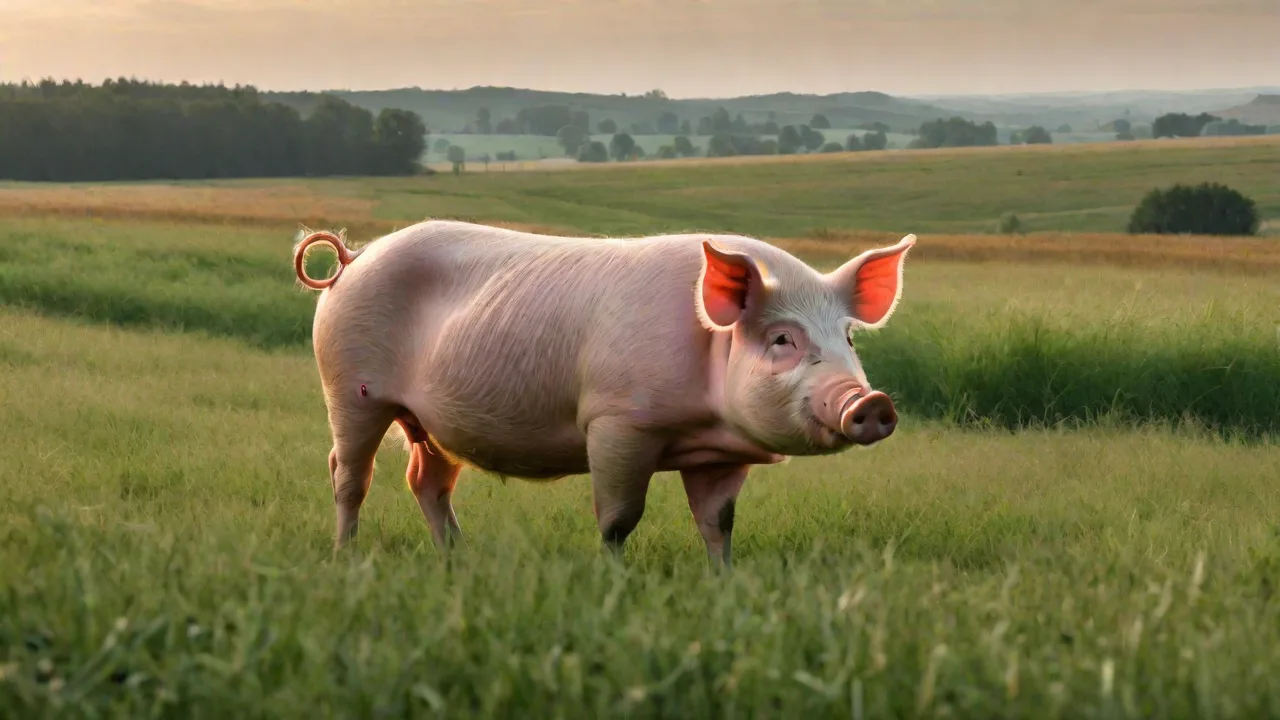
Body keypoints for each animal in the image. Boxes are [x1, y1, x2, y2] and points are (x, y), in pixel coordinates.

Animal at [292, 220, 915, 566]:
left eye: (848, 337)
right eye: (783, 338)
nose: (871, 402)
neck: (703, 422)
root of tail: (353, 259)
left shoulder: (720, 455)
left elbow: (719, 522)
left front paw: (724, 581)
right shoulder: (618, 422)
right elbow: (619, 518)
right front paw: (612, 580)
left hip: (433, 422)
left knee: (425, 481)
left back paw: (459, 560)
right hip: (350, 388)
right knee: (348, 475)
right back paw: (344, 558)